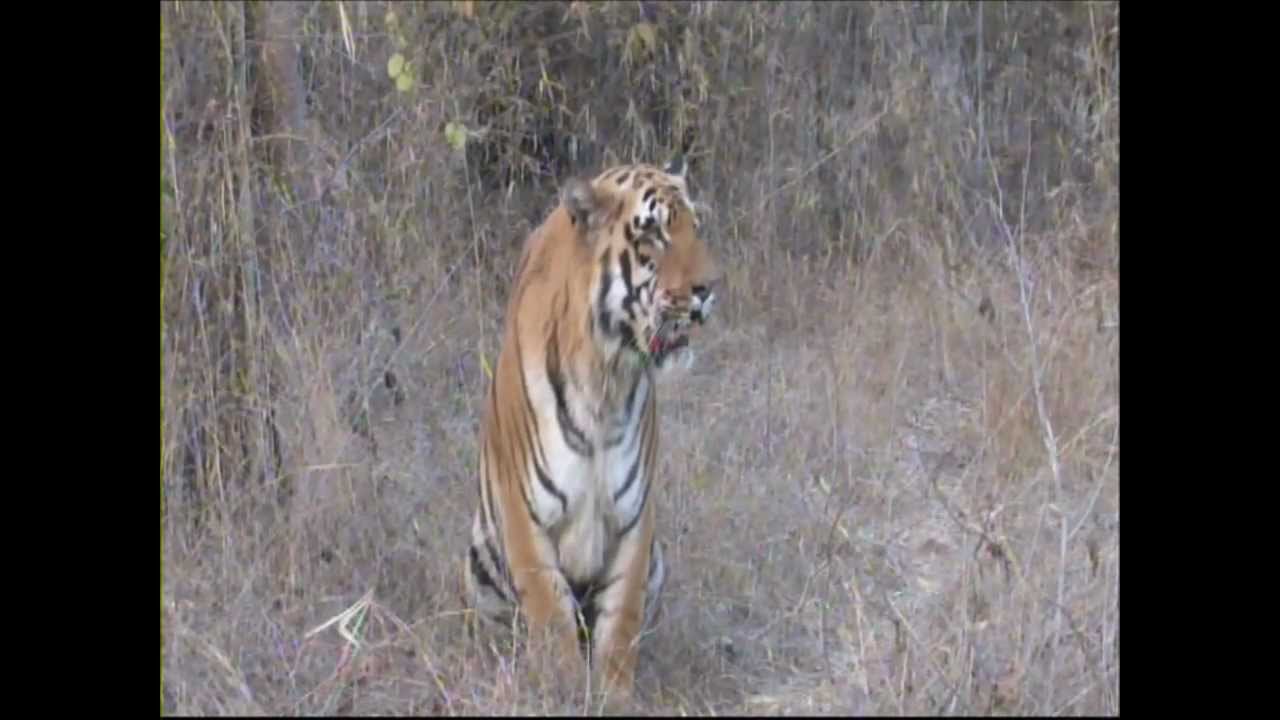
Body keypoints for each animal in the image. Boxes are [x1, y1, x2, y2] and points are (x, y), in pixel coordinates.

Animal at [463, 155, 720, 703]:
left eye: (696, 227)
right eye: (656, 235)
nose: (708, 289)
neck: (608, 372)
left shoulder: (634, 519)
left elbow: (620, 625)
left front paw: (613, 697)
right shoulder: (524, 516)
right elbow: (551, 621)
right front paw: (562, 692)